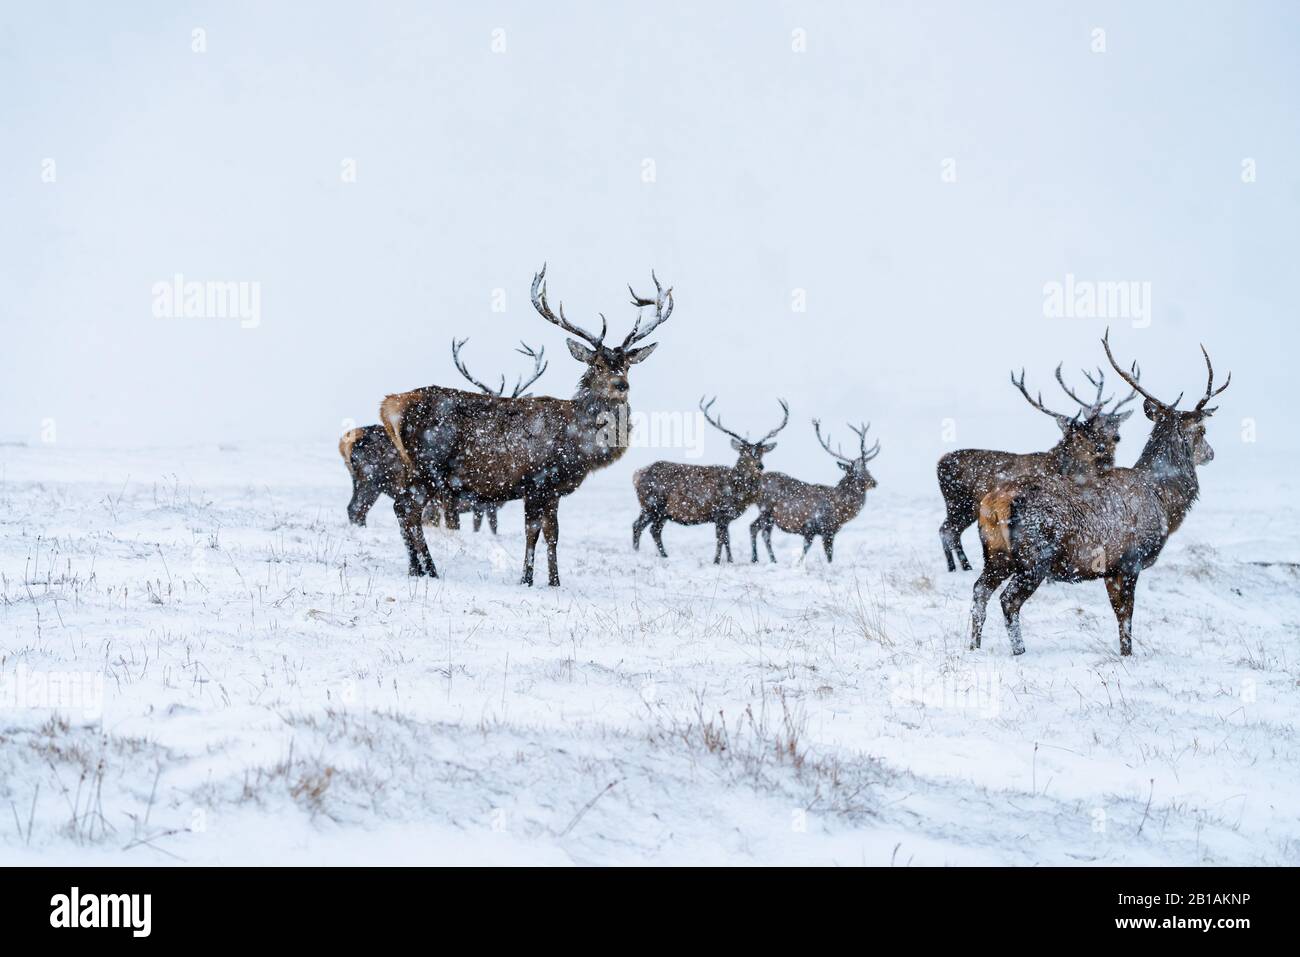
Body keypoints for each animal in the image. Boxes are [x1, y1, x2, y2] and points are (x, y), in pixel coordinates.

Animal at [379, 264, 673, 585]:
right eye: (597, 365)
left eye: (627, 365)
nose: (621, 385)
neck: (579, 447)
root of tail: (391, 405)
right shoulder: (536, 480)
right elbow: (532, 533)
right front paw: (527, 579)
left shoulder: (553, 490)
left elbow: (553, 534)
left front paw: (555, 582)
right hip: (428, 467)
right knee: (408, 510)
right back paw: (429, 569)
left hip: (415, 469)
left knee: (401, 509)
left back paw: (416, 568)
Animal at [632, 397, 789, 562]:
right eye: (744, 453)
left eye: (761, 453)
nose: (760, 465)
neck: (736, 491)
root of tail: (637, 474)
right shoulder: (719, 512)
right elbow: (721, 538)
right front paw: (717, 561)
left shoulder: (725, 517)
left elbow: (726, 538)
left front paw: (729, 560)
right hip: (653, 505)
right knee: (647, 528)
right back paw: (654, 554)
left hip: (656, 510)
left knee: (644, 527)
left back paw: (647, 553)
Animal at [750, 420, 880, 564]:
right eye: (854, 473)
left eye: (867, 469)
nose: (874, 482)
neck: (840, 510)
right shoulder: (814, 528)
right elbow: (818, 552)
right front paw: (800, 564)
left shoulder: (829, 531)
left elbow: (827, 554)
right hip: (766, 511)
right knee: (764, 533)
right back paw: (772, 560)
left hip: (766, 514)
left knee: (753, 527)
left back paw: (755, 559)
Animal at [936, 364, 1138, 572]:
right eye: (1079, 435)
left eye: (1092, 431)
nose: (1102, 447)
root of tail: (940, 462)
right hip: (959, 502)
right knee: (947, 530)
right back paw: (958, 566)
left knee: (948, 529)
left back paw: (960, 566)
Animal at [970, 330, 1230, 656]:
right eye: (1202, 431)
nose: (1211, 453)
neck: (1164, 501)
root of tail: (995, 502)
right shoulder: (1130, 559)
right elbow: (1126, 618)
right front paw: (1129, 655)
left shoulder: (1110, 568)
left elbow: (1118, 615)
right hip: (1035, 555)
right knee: (1008, 599)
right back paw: (1019, 651)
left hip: (995, 553)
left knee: (979, 591)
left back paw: (973, 646)